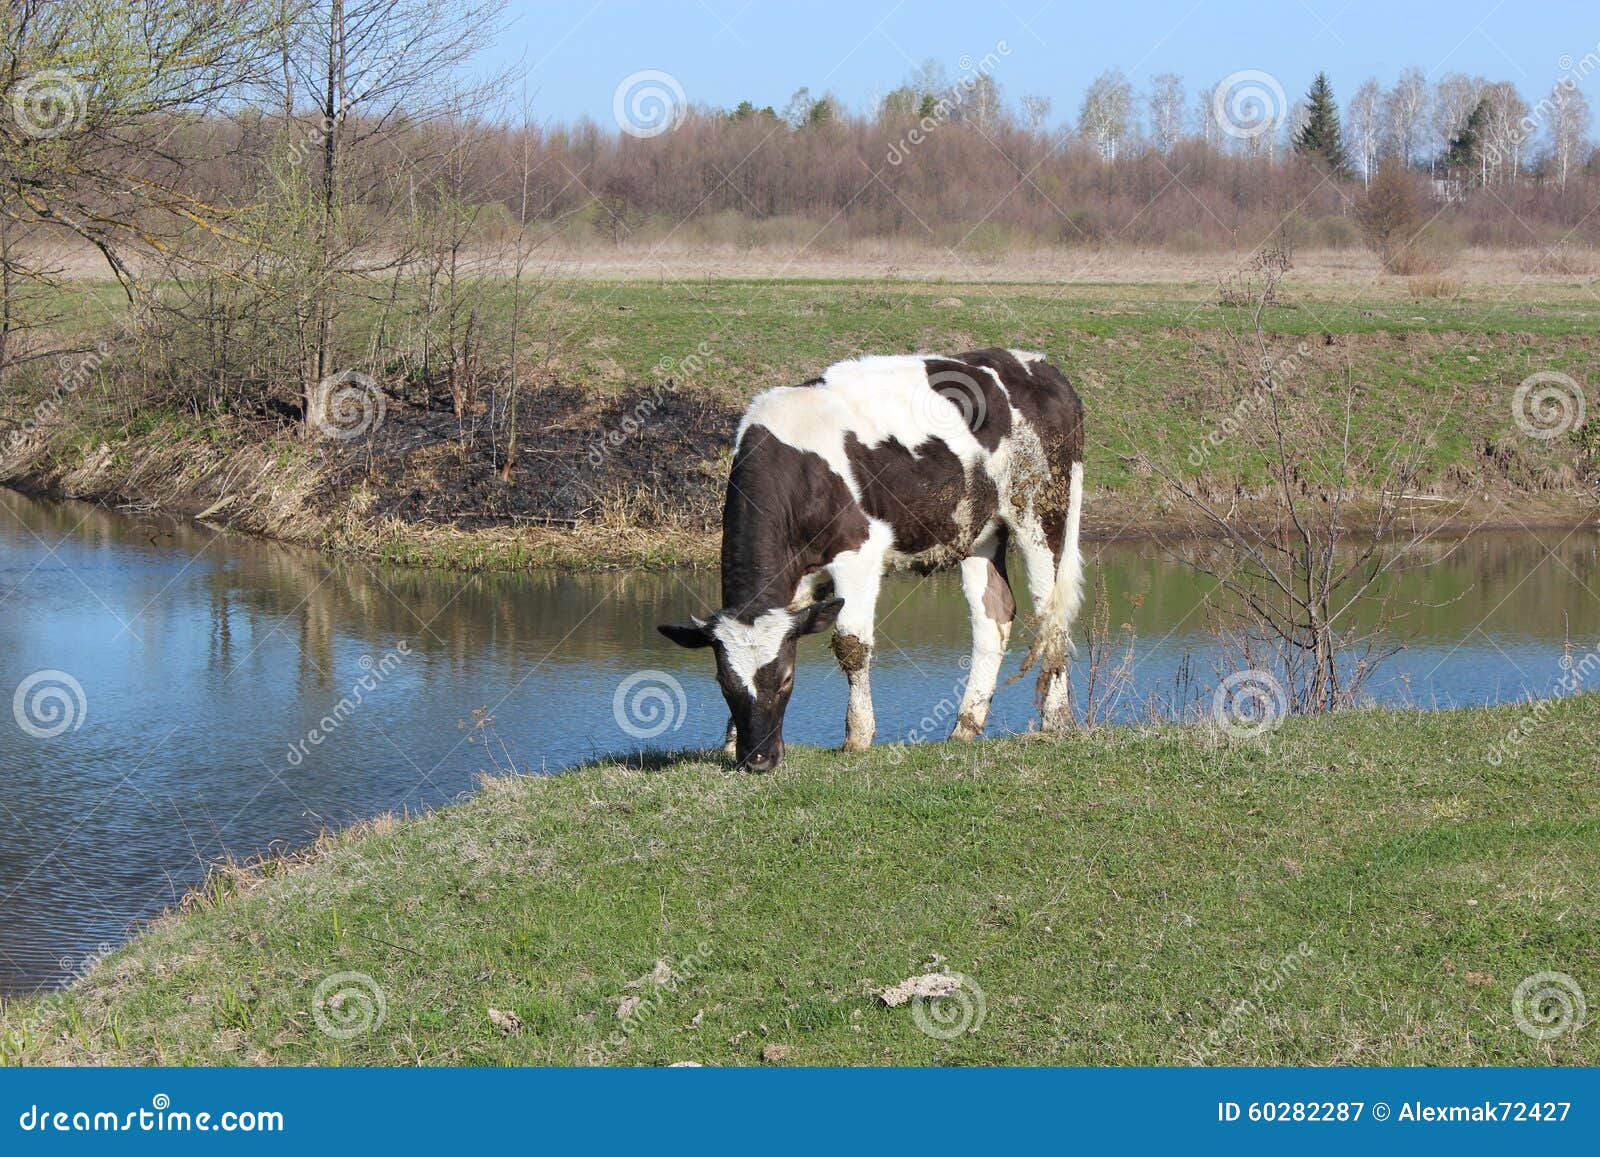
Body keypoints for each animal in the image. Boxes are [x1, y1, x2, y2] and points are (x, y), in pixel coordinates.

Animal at [659, 348, 1085, 772]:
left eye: (787, 679)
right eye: (723, 683)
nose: (759, 759)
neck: (798, 466)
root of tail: (1038, 365)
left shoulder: (858, 551)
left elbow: (851, 644)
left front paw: (858, 736)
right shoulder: (791, 584)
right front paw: (730, 743)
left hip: (1041, 512)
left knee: (1049, 612)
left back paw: (1055, 719)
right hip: (980, 532)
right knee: (992, 616)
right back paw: (966, 725)